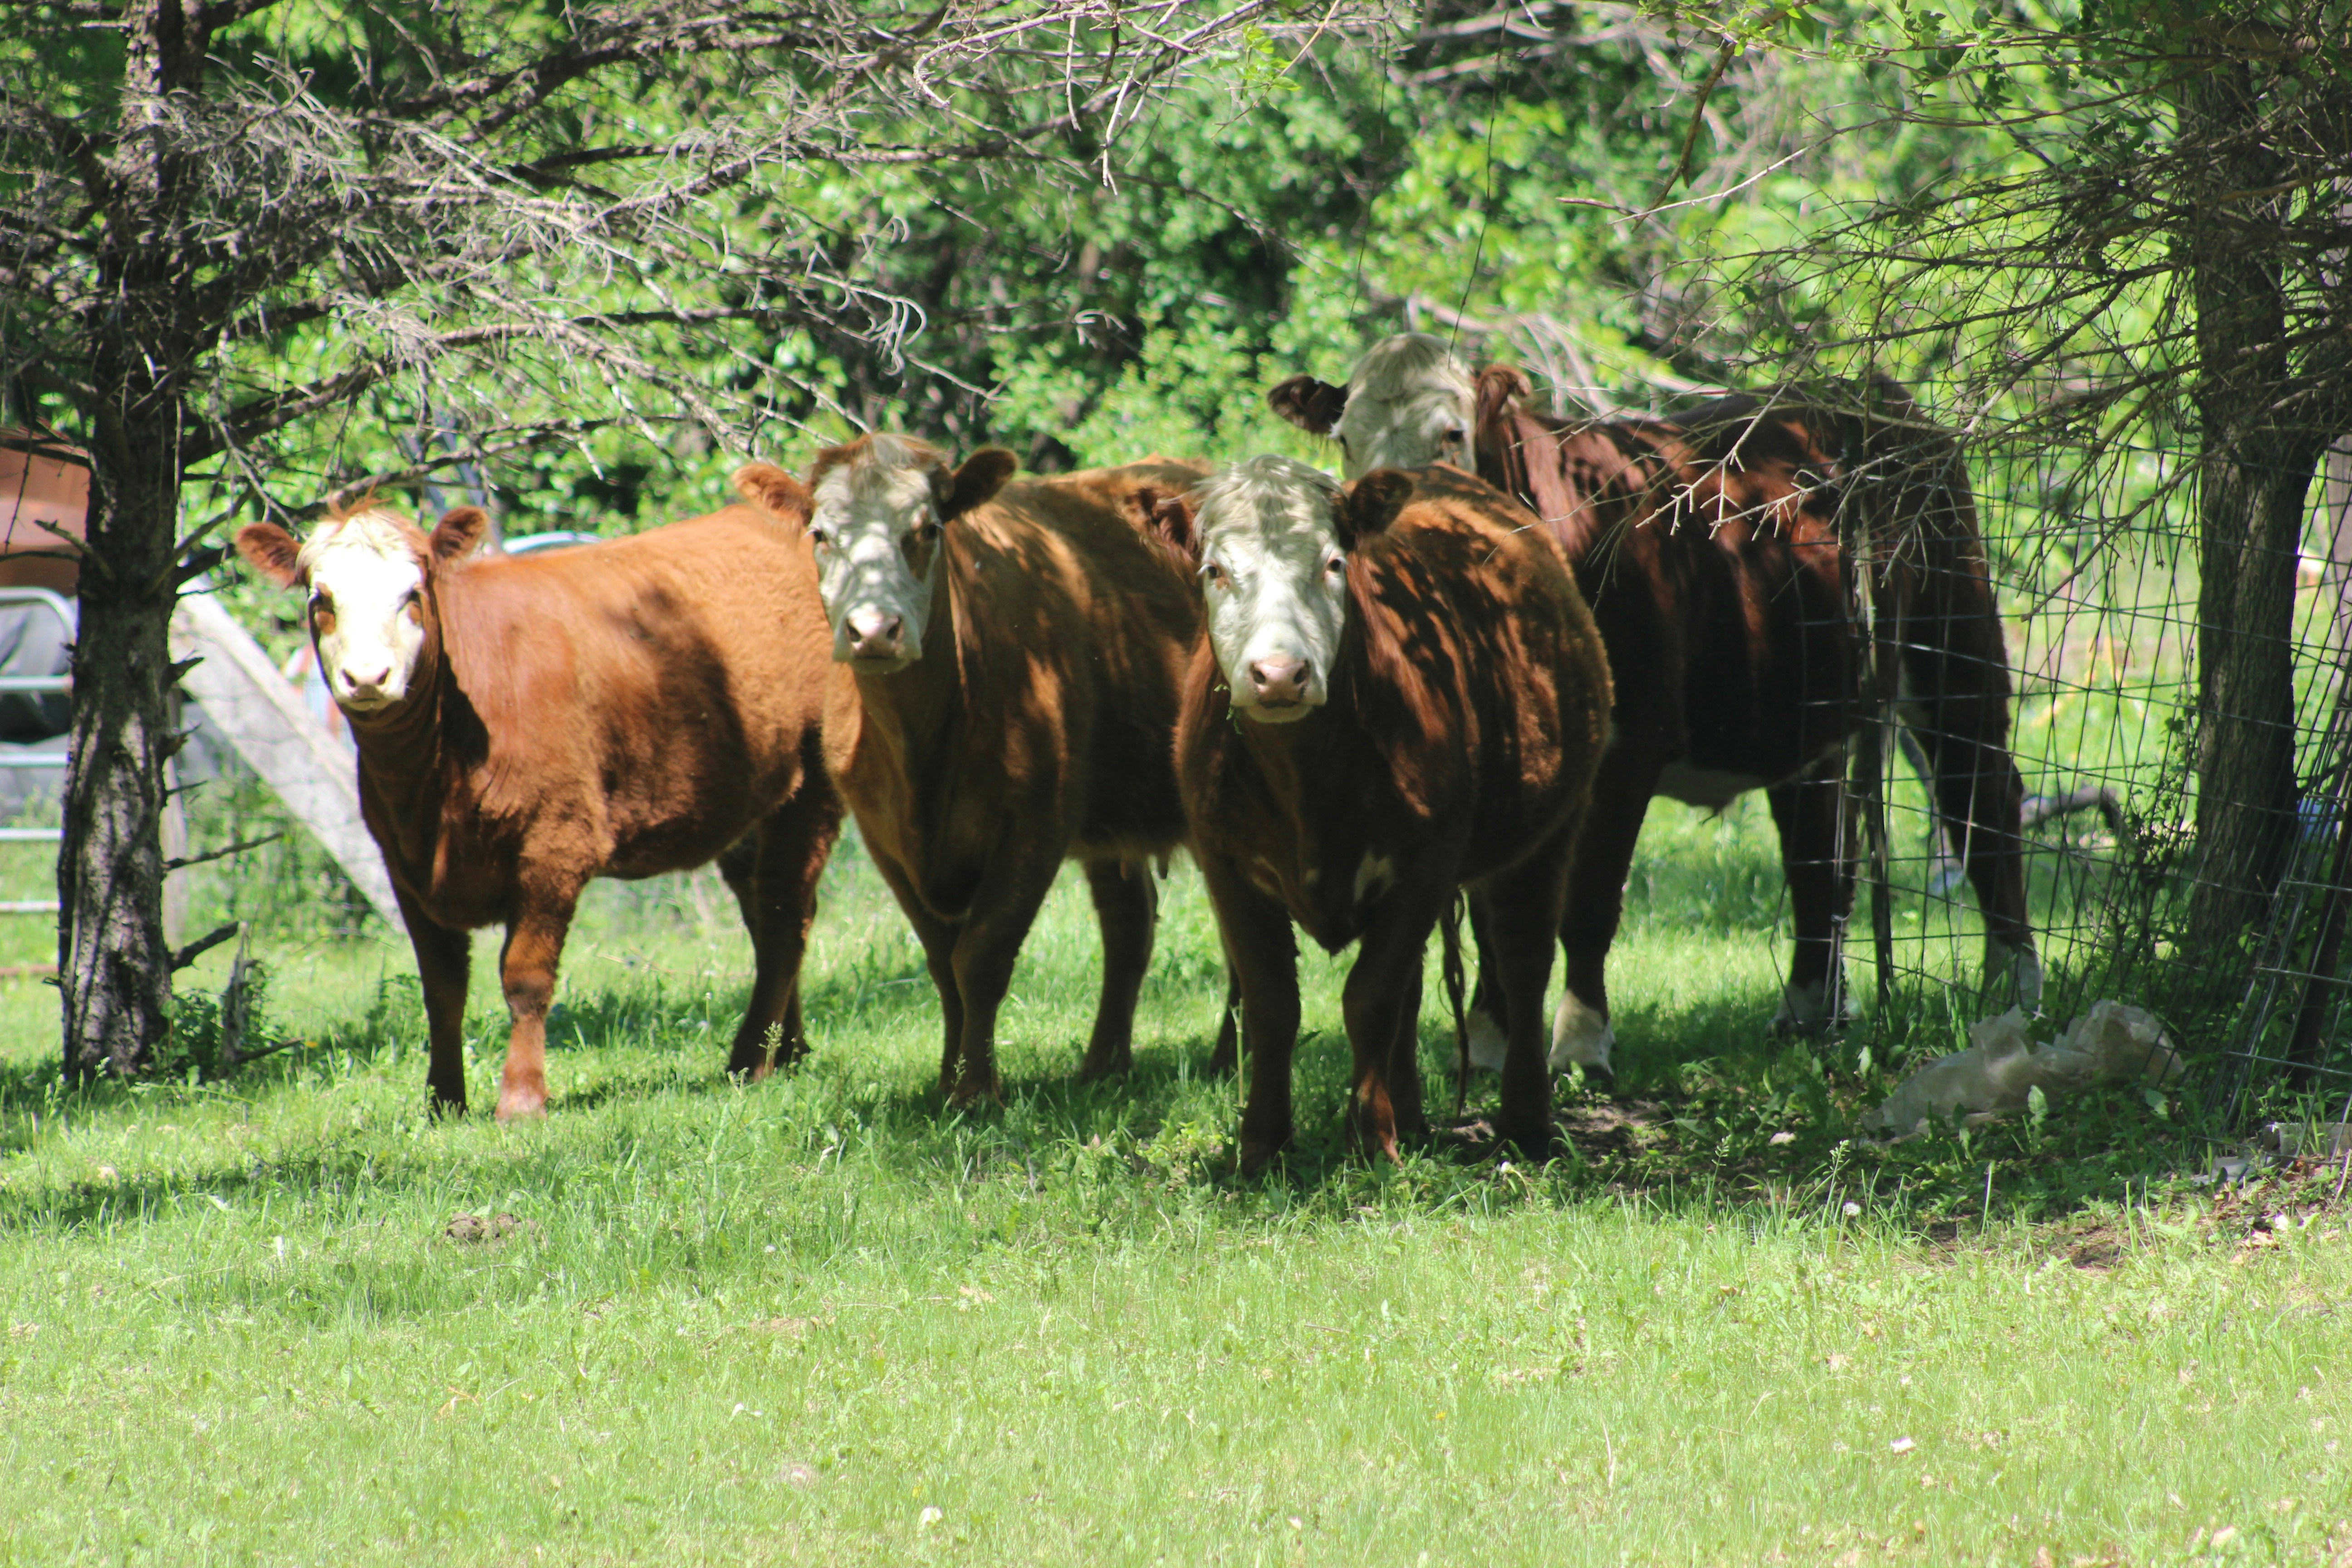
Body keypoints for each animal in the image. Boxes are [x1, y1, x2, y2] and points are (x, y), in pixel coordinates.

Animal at [234, 497, 842, 1120]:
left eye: (413, 593)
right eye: (321, 599)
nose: (367, 677)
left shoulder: (557, 845)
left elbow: (524, 978)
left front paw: (522, 1097)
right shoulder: (404, 867)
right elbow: (442, 989)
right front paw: (444, 1100)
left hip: (811, 788)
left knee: (783, 918)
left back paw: (750, 1059)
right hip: (749, 805)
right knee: (766, 914)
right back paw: (787, 1050)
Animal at [730, 438, 1207, 1106]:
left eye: (927, 529)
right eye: (821, 534)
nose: (873, 631)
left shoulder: (1037, 820)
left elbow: (980, 958)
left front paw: (978, 1090)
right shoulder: (884, 838)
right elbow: (941, 962)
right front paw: (947, 1081)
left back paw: (1229, 1054)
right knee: (1130, 922)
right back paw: (1104, 1066)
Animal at [1144, 456, 1612, 1169]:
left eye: (1334, 563)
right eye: (1215, 570)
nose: (1279, 674)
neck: (1306, 780)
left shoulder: (1428, 858)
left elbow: (1369, 999)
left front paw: (1369, 1141)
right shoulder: (1224, 863)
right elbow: (1273, 1003)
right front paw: (1263, 1145)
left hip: (1554, 827)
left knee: (1523, 962)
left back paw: (1525, 1123)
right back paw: (1413, 1116)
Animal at [1270, 333, 2037, 1072]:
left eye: (1451, 433)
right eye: (1346, 440)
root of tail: (1869, 394)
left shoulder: (1628, 744)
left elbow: (1587, 903)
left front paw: (1581, 1044)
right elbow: (1492, 910)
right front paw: (1490, 1042)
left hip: (1953, 643)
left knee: (1983, 801)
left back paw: (2012, 983)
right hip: (1809, 700)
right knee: (1818, 850)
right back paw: (1809, 1009)